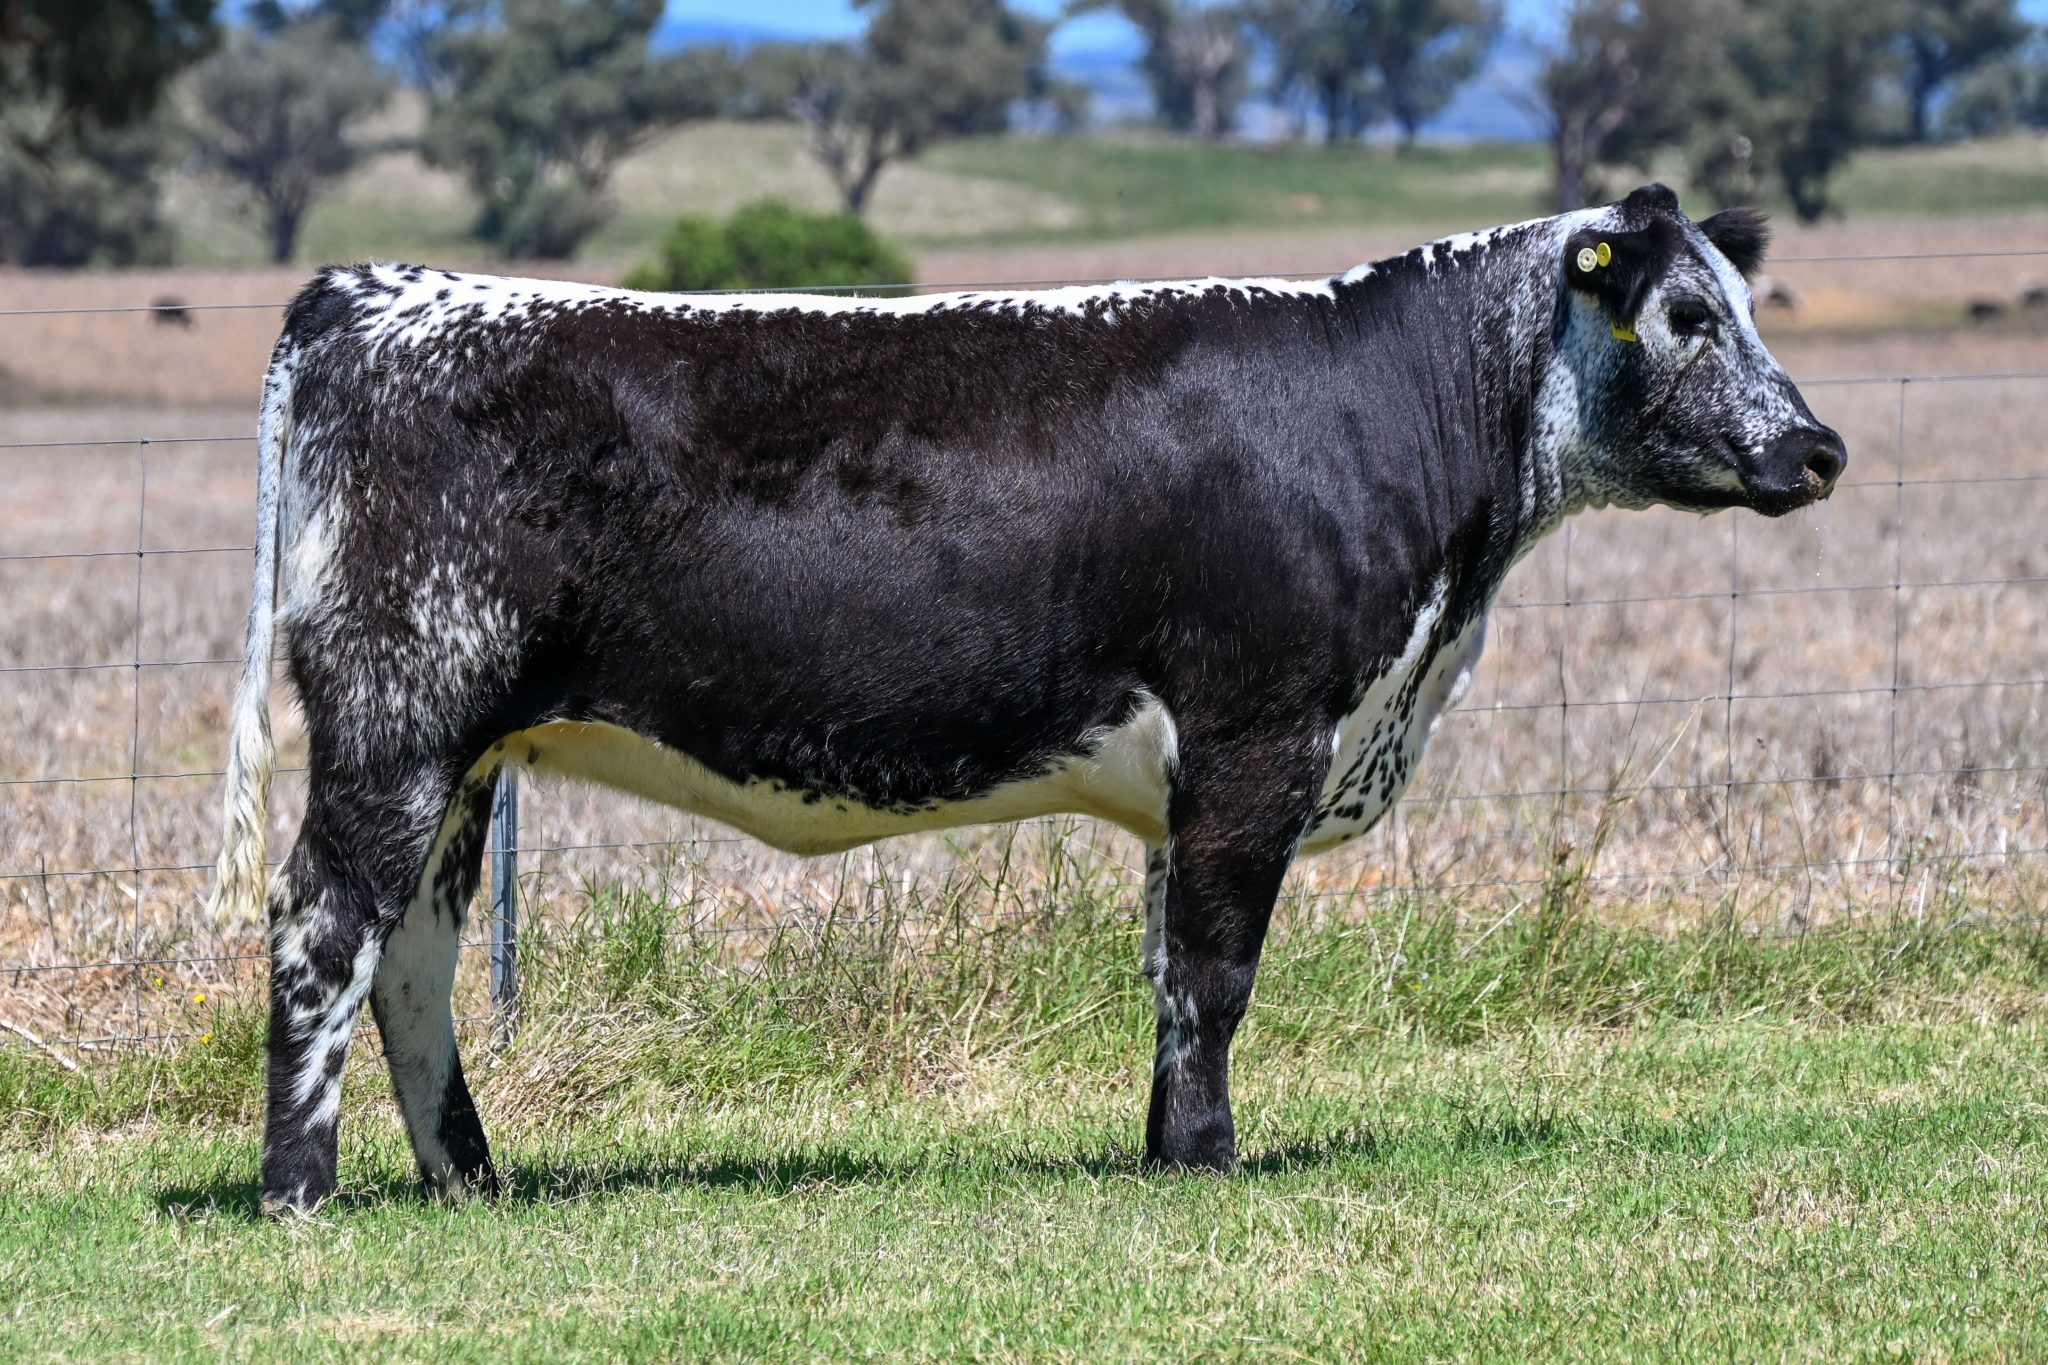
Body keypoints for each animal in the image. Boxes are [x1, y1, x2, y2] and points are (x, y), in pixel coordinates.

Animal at [211, 184, 1845, 1213]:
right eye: (1686, 314)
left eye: (1747, 303)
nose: (1817, 450)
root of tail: (376, 292)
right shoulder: (1258, 738)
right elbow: (1218, 972)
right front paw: (1208, 1162)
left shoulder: (1191, 783)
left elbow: (1170, 972)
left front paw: (1164, 1148)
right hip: (396, 716)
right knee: (324, 925)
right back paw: (301, 1190)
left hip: (464, 750)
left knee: (414, 957)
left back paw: (470, 1180)